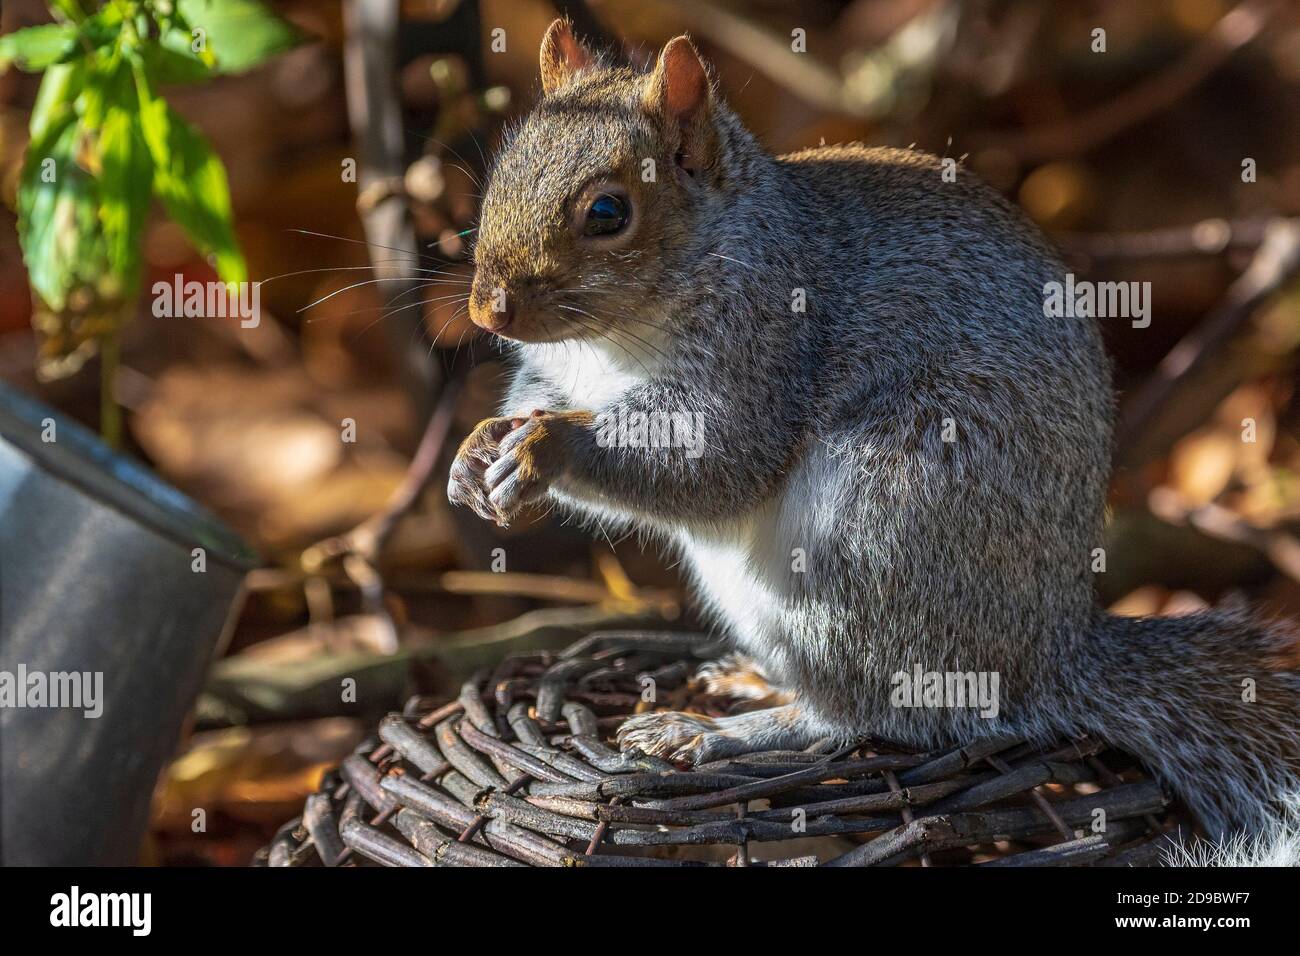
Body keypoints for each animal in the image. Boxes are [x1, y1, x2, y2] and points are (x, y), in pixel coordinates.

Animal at [447, 18, 1300, 854]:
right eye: (501, 174)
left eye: (608, 213)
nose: (489, 311)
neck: (609, 345)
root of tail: (1041, 661)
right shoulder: (558, 376)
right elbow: (538, 405)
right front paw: (475, 452)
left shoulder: (762, 349)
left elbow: (716, 463)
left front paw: (547, 451)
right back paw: (749, 681)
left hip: (875, 533)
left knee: (857, 717)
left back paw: (721, 733)